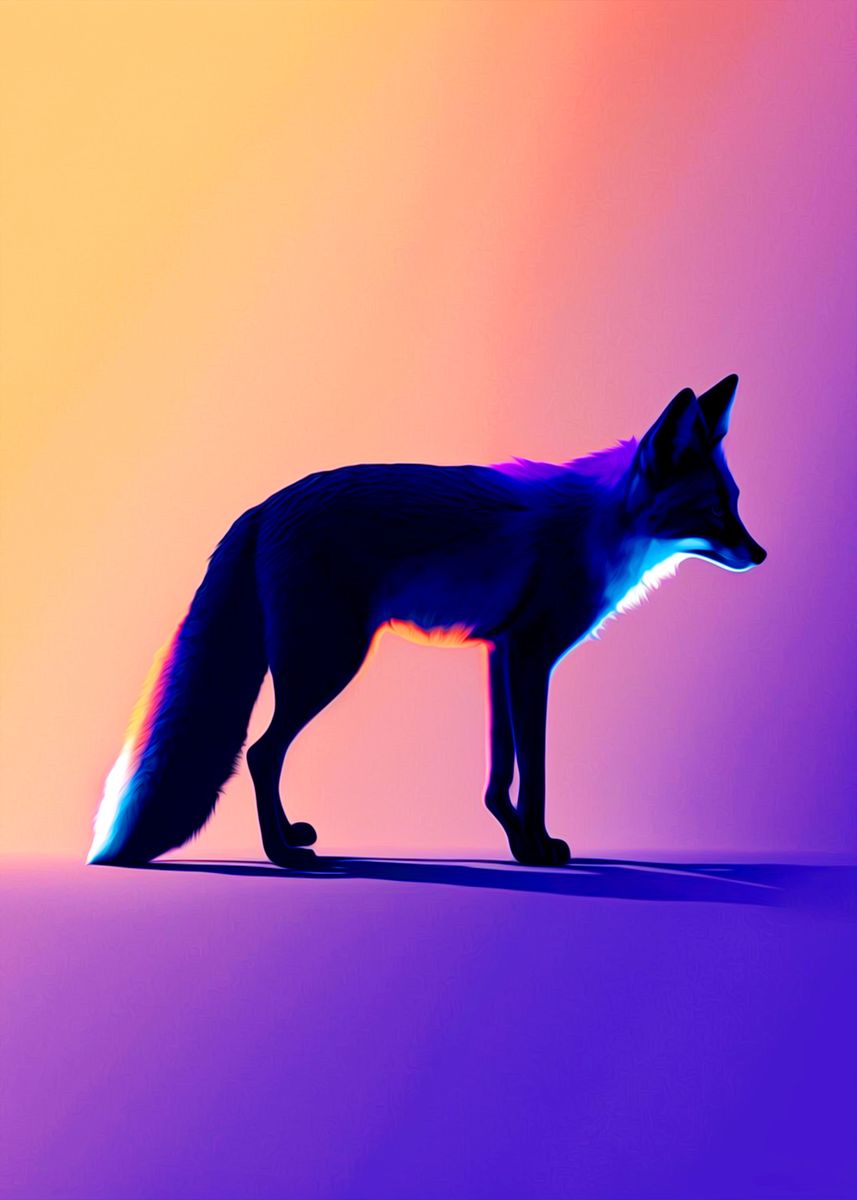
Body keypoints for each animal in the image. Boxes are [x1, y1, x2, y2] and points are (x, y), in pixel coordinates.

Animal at [88, 374, 765, 870]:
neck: (599, 525)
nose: (759, 555)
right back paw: (284, 856)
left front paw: (515, 841)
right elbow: (536, 771)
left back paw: (292, 839)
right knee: (260, 752)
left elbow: (499, 773)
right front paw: (539, 849)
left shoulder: (500, 653)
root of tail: (267, 504)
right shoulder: (532, 657)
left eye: (735, 503)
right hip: (326, 664)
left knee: (266, 753)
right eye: (713, 512)